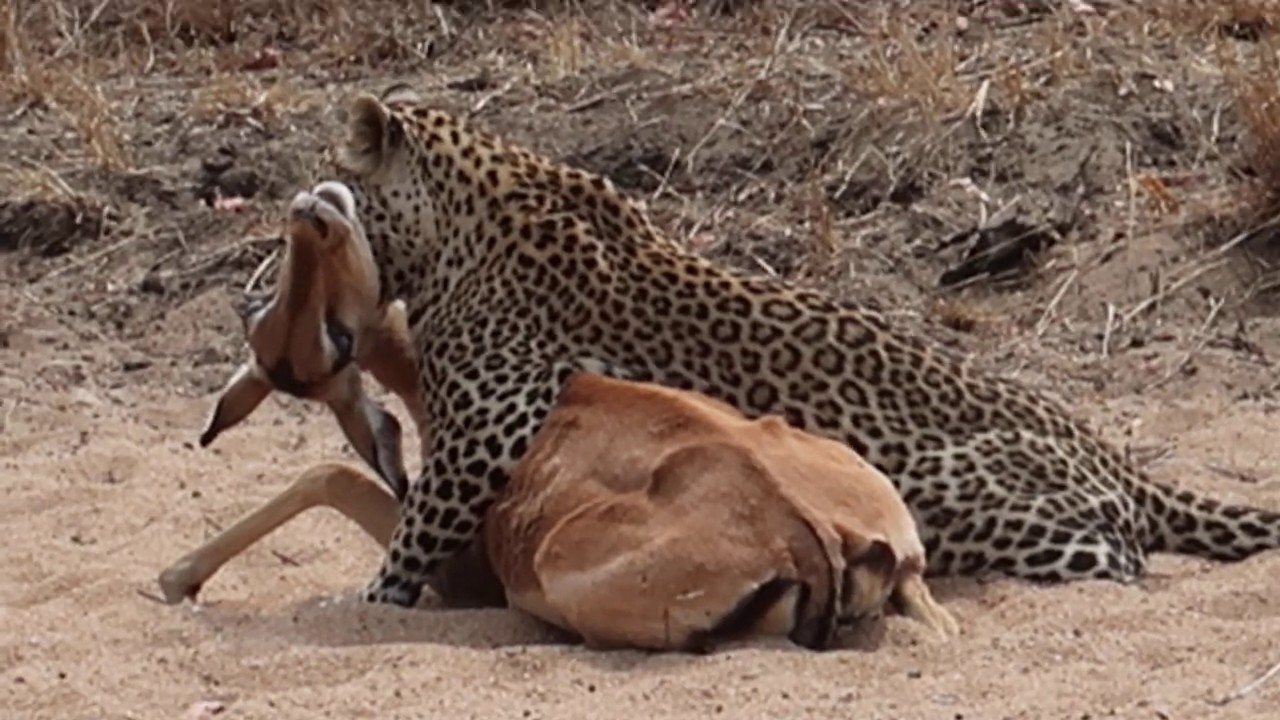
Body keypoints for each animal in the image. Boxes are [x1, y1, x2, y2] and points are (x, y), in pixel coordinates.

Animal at [311, 82, 1280, 609]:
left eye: (326, 185)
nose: (297, 227)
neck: (457, 225)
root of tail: (1116, 458)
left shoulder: (493, 427)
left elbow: (416, 523)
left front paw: (372, 597)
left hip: (957, 491)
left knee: (1121, 560)